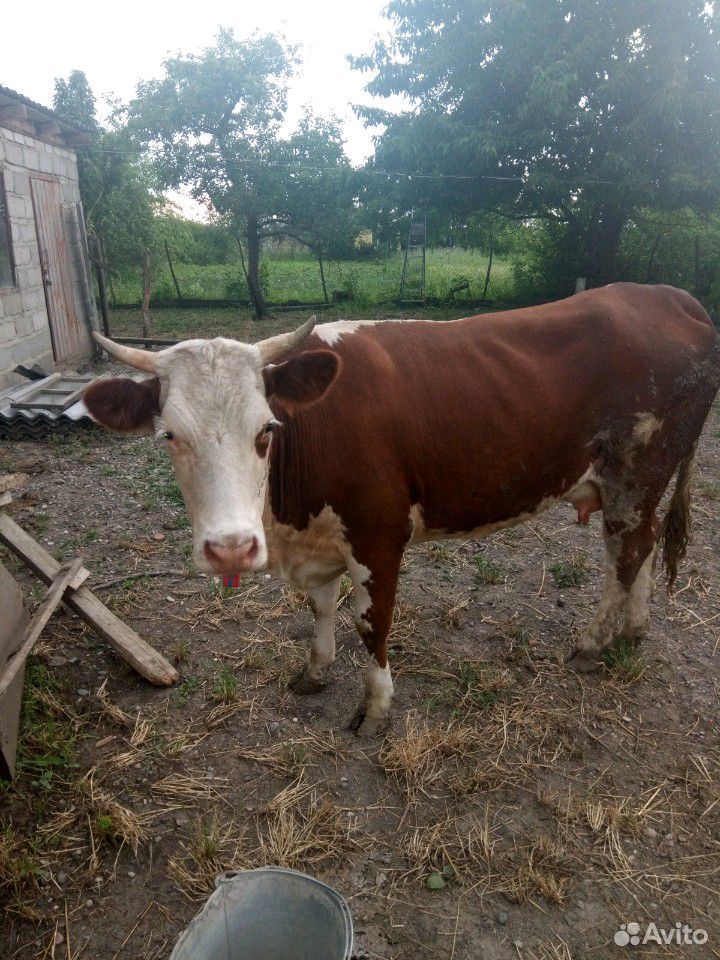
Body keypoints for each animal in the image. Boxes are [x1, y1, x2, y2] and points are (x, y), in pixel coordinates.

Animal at [84, 283, 720, 735]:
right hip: (637, 482)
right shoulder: (319, 539)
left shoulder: (379, 535)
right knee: (640, 544)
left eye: (266, 430)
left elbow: (373, 622)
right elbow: (319, 608)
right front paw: (315, 671)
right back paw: (632, 630)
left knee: (626, 552)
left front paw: (375, 708)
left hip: (636, 470)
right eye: (170, 435)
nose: (231, 549)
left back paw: (591, 643)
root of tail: (668, 295)